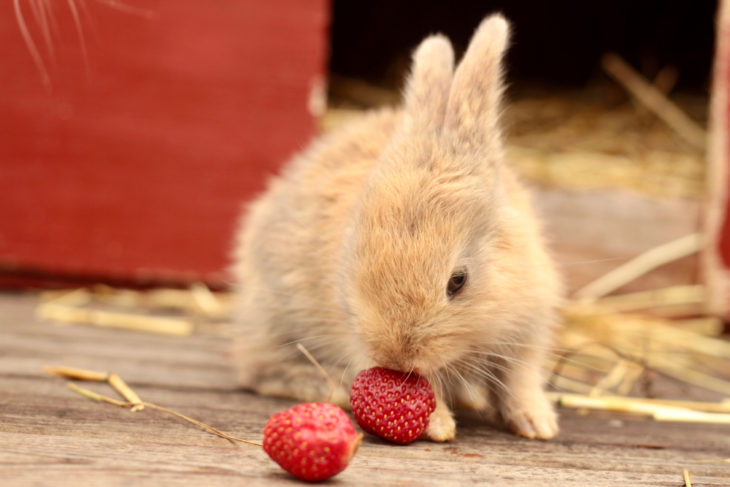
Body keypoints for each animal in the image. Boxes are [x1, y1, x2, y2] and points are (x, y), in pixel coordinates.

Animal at [232, 14, 562, 442]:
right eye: (354, 262)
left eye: (458, 281)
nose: (395, 356)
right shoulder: (350, 327)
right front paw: (439, 426)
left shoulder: (526, 327)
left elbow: (520, 377)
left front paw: (537, 424)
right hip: (274, 311)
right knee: (255, 367)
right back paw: (326, 386)